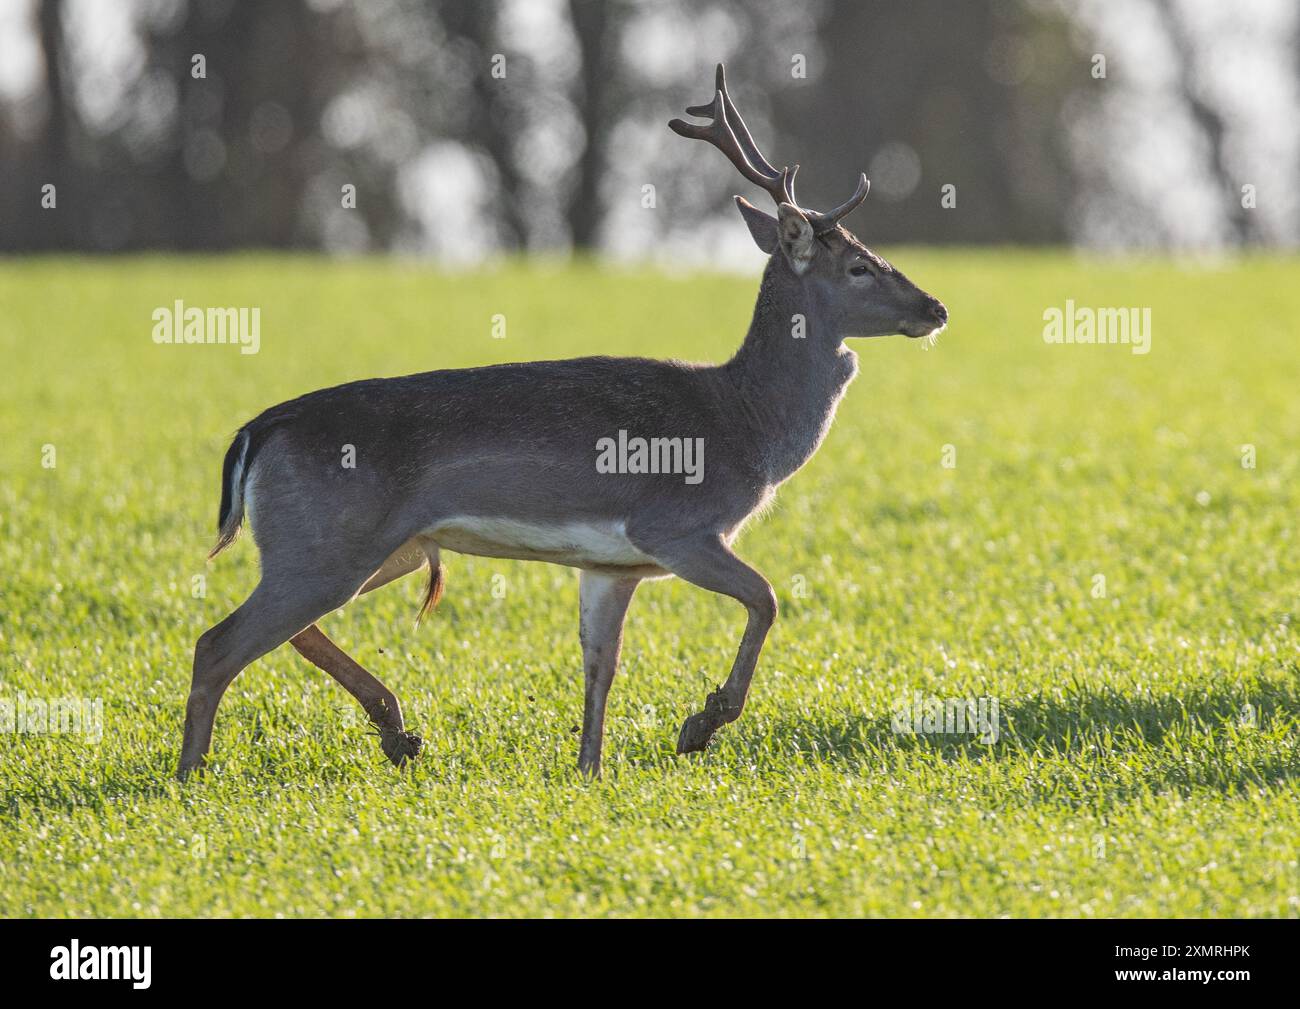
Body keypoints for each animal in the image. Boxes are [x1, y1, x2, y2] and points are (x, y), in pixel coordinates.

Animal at [178, 64, 947, 780]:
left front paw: (589, 769)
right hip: (328, 542)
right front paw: (698, 726)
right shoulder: (675, 525)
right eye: (858, 266)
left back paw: (398, 732)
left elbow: (600, 664)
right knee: (218, 642)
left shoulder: (612, 565)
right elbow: (768, 598)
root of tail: (259, 430)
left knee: (285, 632)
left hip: (382, 548)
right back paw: (191, 776)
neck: (744, 421)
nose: (935, 307)